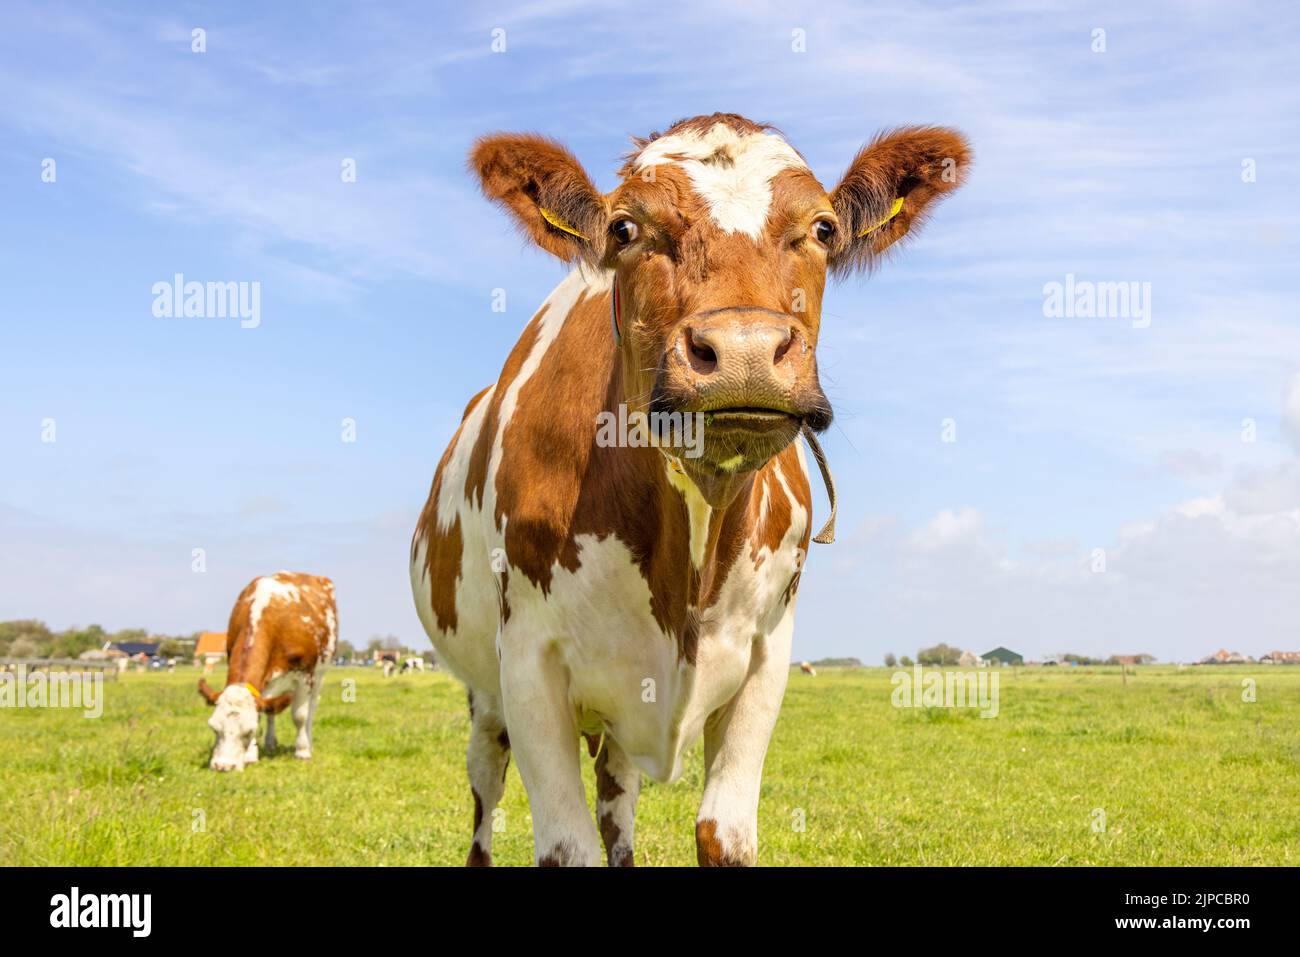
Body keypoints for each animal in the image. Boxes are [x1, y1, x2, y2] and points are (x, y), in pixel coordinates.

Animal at [198, 571, 337, 771]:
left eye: (249, 731)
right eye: (214, 727)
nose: (223, 766)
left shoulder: (305, 675)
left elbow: (300, 716)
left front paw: (302, 752)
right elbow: (262, 711)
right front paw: (251, 755)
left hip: (320, 674)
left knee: (312, 707)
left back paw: (308, 742)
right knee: (271, 710)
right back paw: (271, 743)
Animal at [410, 113, 969, 865]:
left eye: (823, 228)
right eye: (624, 228)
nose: (744, 351)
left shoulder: (766, 655)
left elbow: (720, 832)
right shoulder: (527, 662)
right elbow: (566, 847)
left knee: (616, 804)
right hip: (484, 696)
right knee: (485, 792)